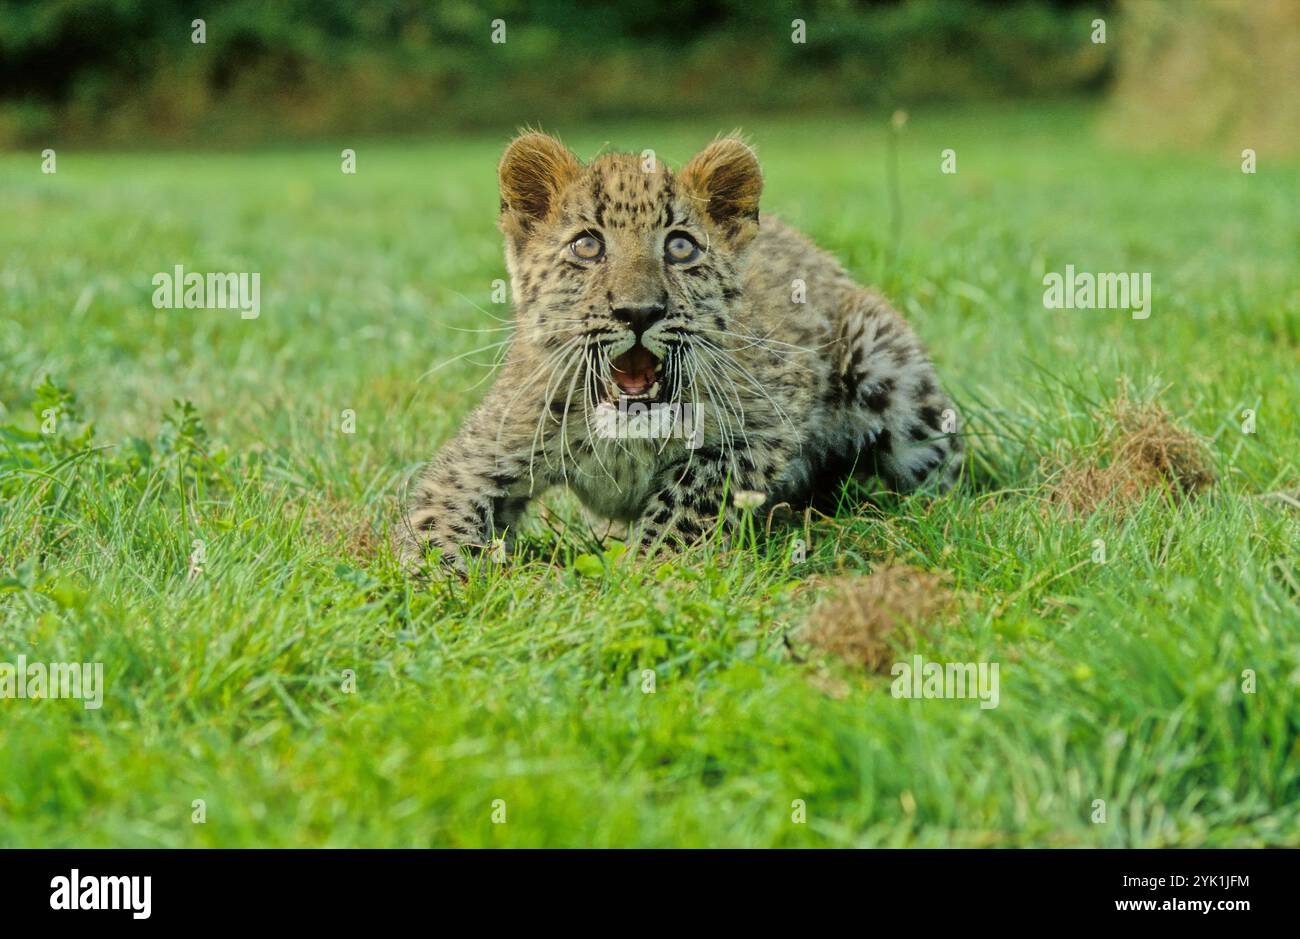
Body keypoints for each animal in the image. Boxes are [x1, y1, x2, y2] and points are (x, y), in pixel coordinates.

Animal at [402, 131, 963, 570]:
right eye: (587, 245)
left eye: (680, 247)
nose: (638, 312)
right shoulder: (485, 449)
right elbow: (433, 519)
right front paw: (438, 585)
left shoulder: (762, 425)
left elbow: (689, 498)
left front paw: (648, 569)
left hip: (888, 370)